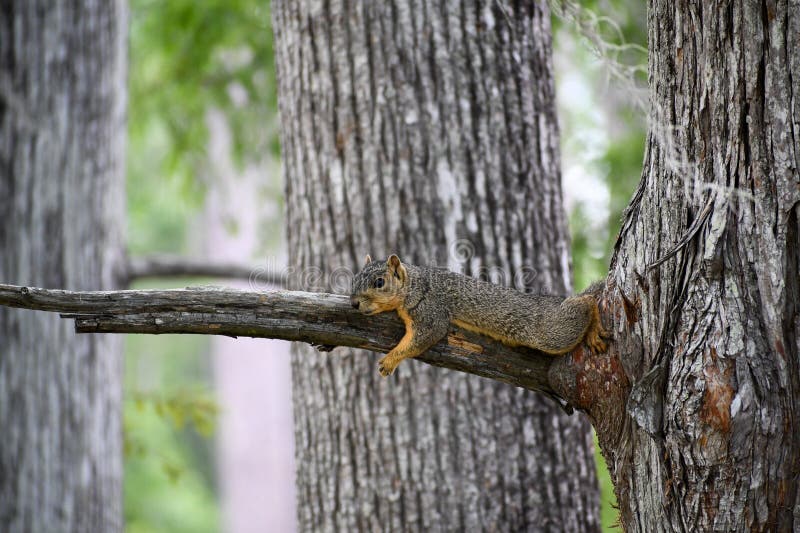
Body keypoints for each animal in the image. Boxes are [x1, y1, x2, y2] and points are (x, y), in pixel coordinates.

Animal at [350, 254, 608, 377]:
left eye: (379, 282)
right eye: (353, 280)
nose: (353, 303)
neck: (414, 285)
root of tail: (557, 302)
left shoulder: (431, 312)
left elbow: (422, 338)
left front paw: (390, 360)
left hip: (548, 332)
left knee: (585, 304)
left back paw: (593, 321)